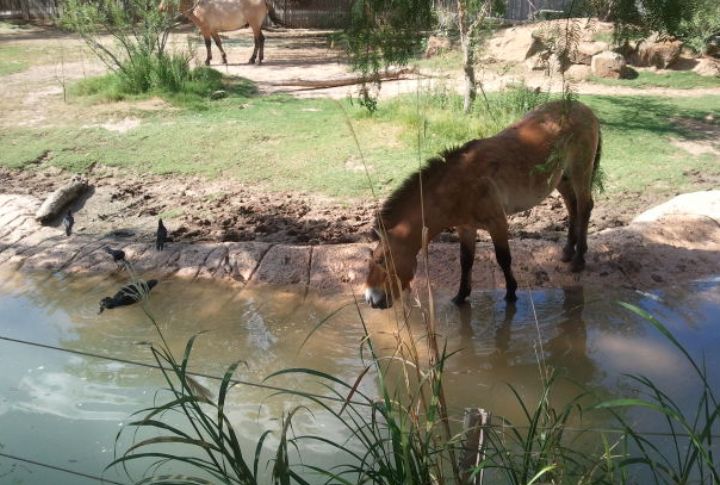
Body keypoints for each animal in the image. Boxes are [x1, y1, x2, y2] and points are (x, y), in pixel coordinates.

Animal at [364, 100, 602, 309]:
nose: (371, 299)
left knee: (584, 207)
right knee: (572, 207)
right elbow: (466, 262)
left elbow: (503, 259)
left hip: (580, 172)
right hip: (562, 178)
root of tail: (583, 107)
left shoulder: (497, 223)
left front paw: (511, 293)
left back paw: (579, 259)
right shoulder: (466, 228)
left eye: (380, 260)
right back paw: (568, 251)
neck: (461, 184)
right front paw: (461, 296)